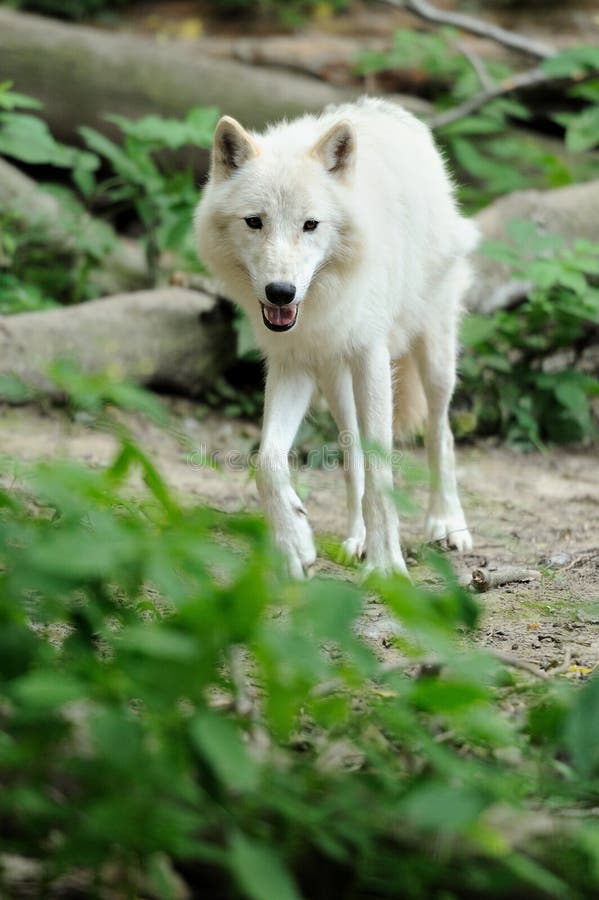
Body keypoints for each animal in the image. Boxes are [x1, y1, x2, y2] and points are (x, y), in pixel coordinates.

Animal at [195, 97, 478, 578]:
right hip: (334, 384)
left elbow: (384, 472)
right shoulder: (291, 363)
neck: (316, 308)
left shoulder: (372, 358)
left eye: (311, 225)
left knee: (441, 433)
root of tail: (388, 109)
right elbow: (267, 461)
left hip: (435, 355)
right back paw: (356, 540)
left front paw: (386, 567)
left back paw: (447, 524)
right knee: (352, 457)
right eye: (254, 222)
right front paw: (294, 543)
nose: (281, 292)